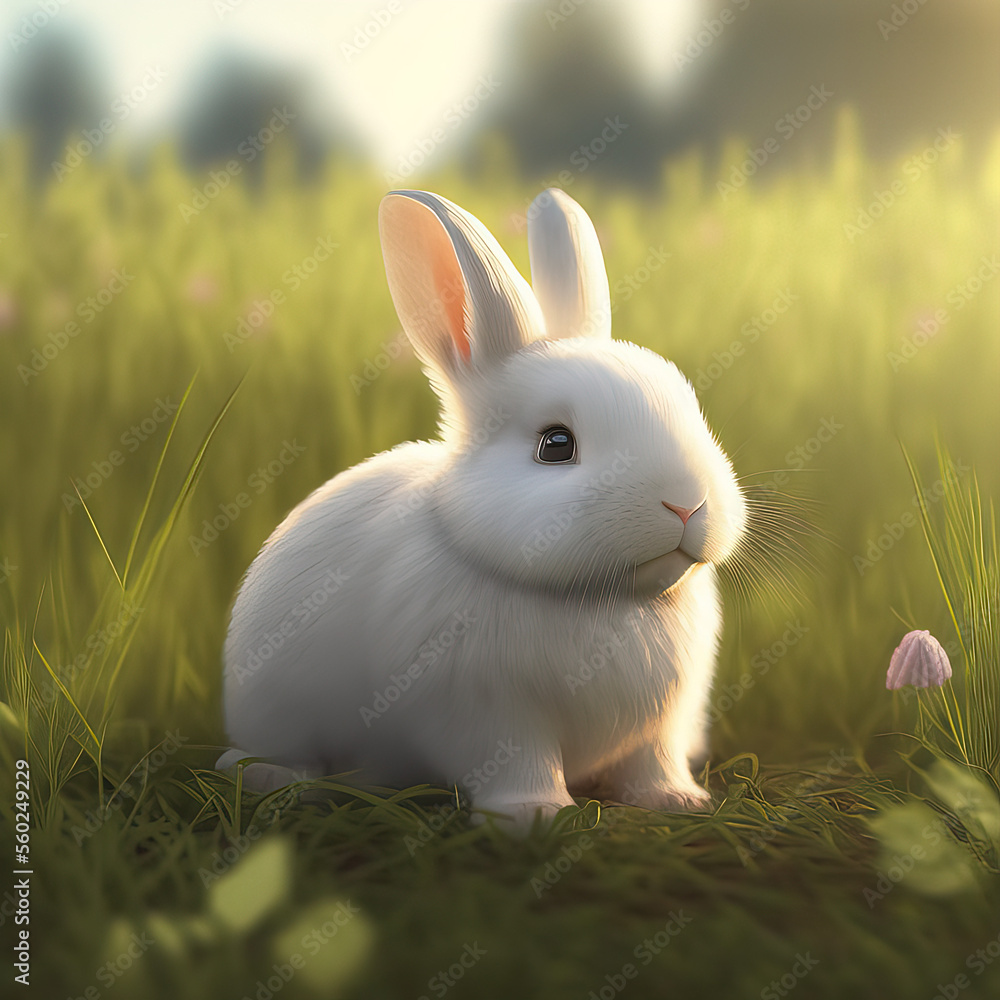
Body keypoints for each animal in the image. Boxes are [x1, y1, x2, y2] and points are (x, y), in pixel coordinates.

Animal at [218, 187, 747, 827]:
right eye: (556, 445)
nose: (687, 503)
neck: (603, 599)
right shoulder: (486, 711)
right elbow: (518, 762)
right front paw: (535, 815)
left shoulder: (661, 722)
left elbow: (653, 762)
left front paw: (678, 800)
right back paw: (274, 776)